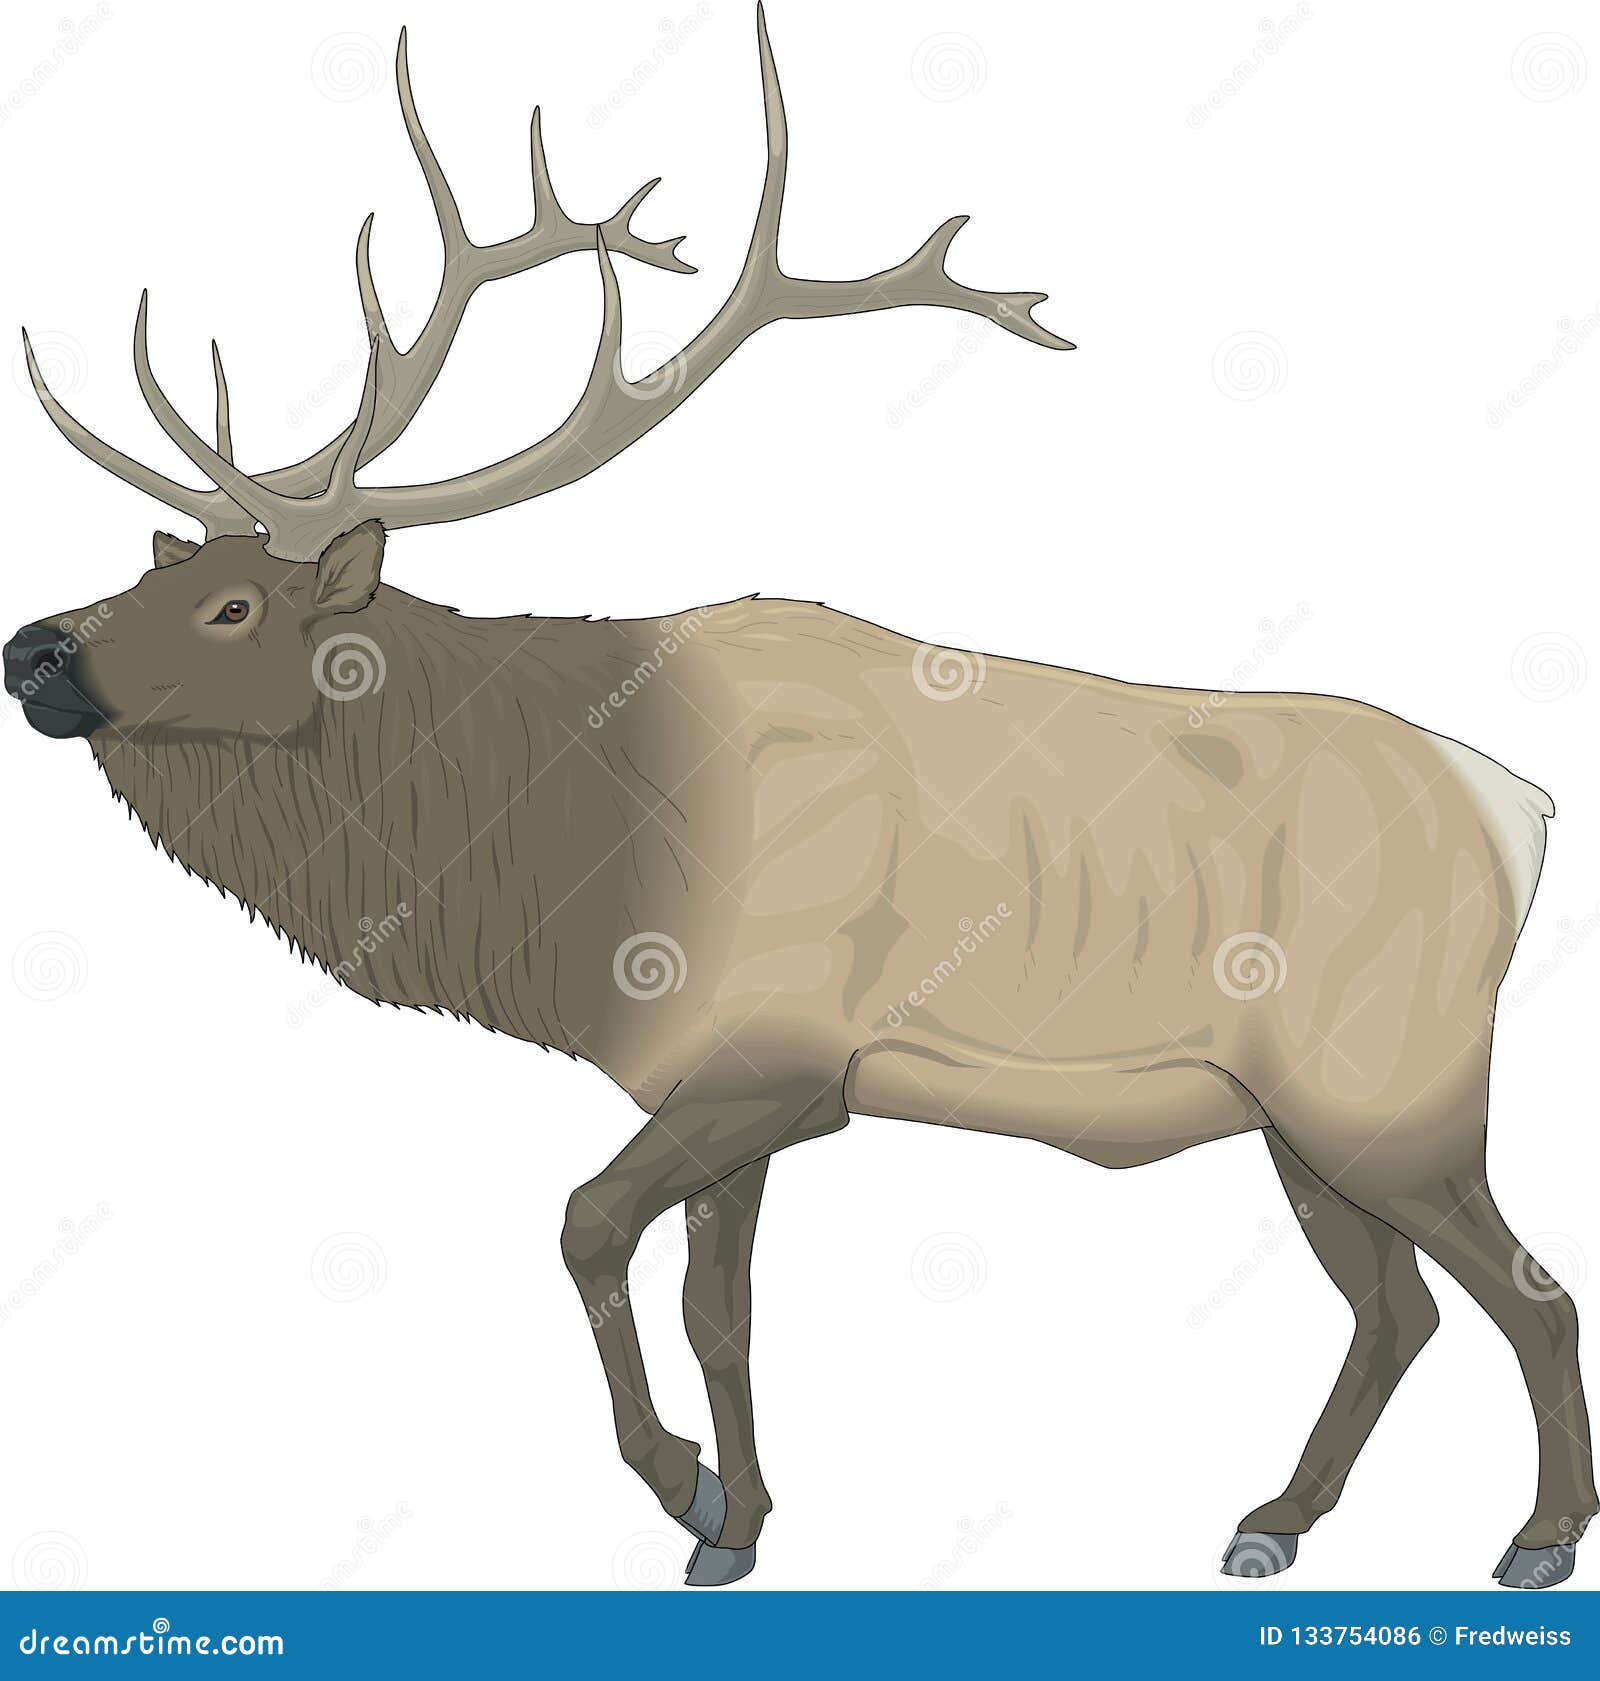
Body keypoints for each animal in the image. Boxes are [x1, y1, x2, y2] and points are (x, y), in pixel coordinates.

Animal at [5, 7, 1592, 1592]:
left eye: (231, 606)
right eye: (151, 574)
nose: (34, 648)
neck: (572, 868)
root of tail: (1522, 809)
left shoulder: (765, 1060)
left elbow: (584, 1229)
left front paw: (684, 1486)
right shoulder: (727, 1091)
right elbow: (721, 1311)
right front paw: (741, 1522)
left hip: (1389, 1083)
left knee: (1528, 1288)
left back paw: (1531, 1537)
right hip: (1299, 1118)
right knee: (1399, 1306)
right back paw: (1274, 1518)